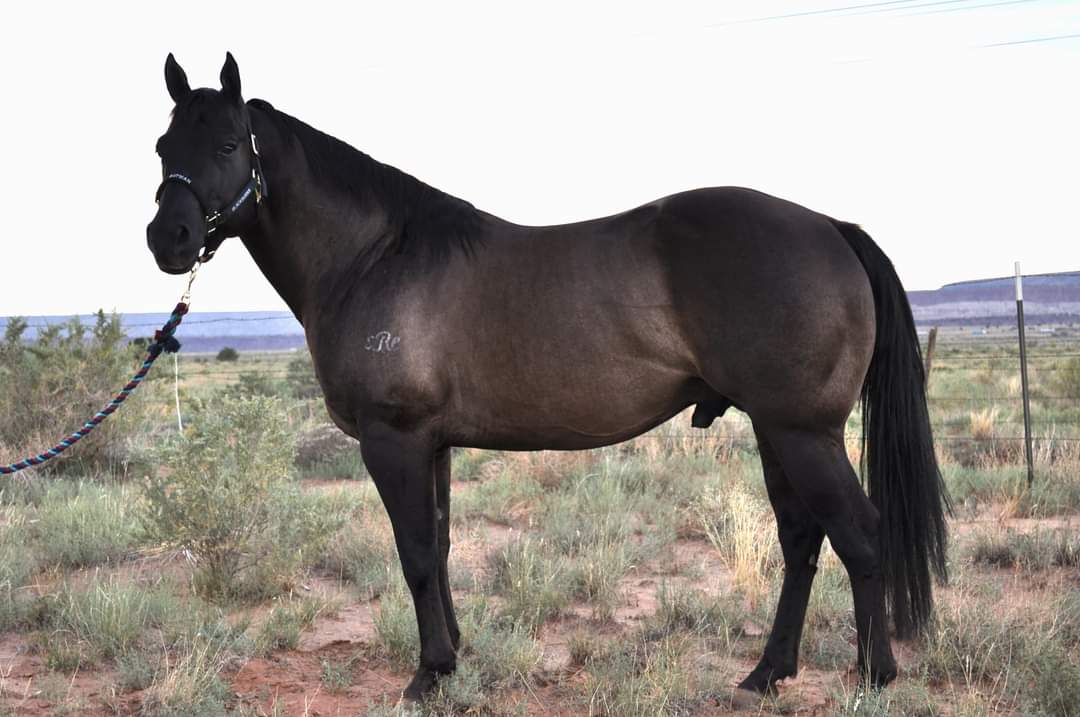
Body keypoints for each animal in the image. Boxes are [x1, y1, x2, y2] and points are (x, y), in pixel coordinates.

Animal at [146, 53, 948, 703]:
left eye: (227, 144)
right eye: (161, 147)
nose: (168, 239)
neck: (375, 255)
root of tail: (829, 226)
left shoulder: (393, 440)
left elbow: (413, 555)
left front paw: (428, 674)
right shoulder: (432, 444)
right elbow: (439, 548)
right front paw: (453, 655)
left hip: (803, 431)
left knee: (860, 535)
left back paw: (873, 675)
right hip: (779, 432)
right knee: (802, 539)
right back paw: (766, 673)